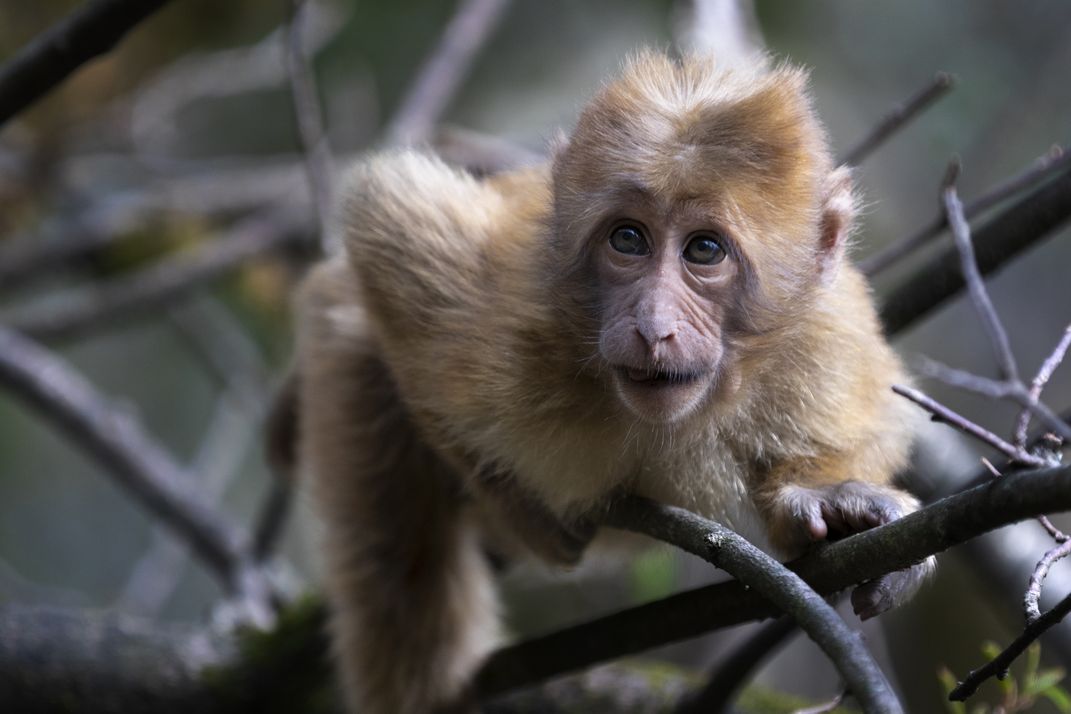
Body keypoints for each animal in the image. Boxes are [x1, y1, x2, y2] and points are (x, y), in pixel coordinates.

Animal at [281, 51, 934, 714]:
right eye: (628, 239)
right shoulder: (502, 318)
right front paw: (526, 516)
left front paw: (830, 498)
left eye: (704, 250)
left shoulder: (827, 338)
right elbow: (384, 216)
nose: (654, 327)